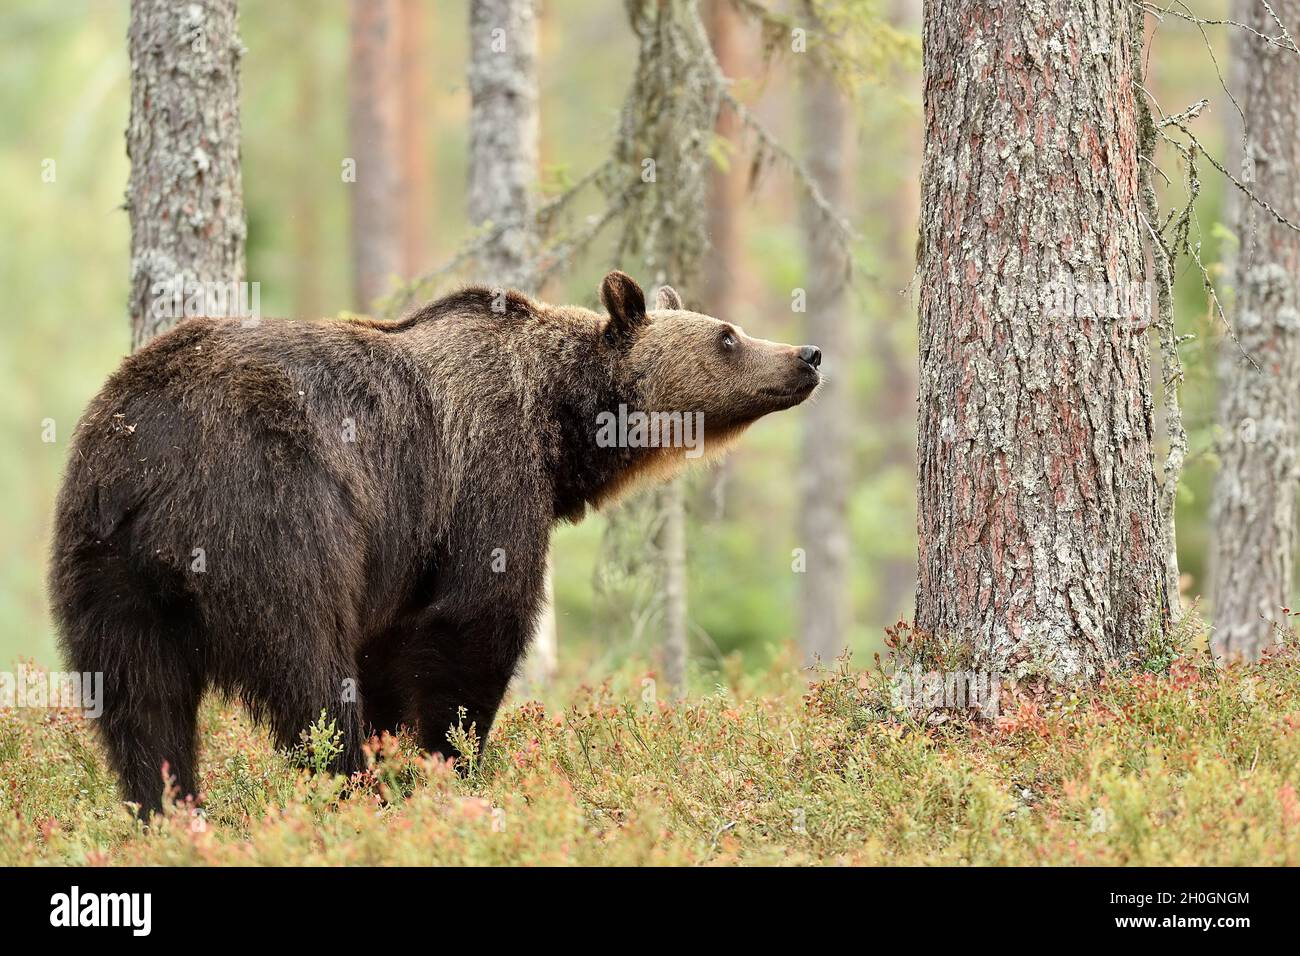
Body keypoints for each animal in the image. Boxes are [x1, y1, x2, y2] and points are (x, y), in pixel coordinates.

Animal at [48, 270, 822, 815]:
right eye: (727, 336)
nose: (807, 354)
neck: (562, 425)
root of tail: (152, 459)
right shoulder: (485, 477)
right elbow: (476, 626)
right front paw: (451, 764)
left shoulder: (401, 563)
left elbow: (389, 653)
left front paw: (408, 759)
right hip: (274, 515)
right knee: (307, 671)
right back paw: (349, 788)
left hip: (104, 565)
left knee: (140, 703)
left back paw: (169, 809)